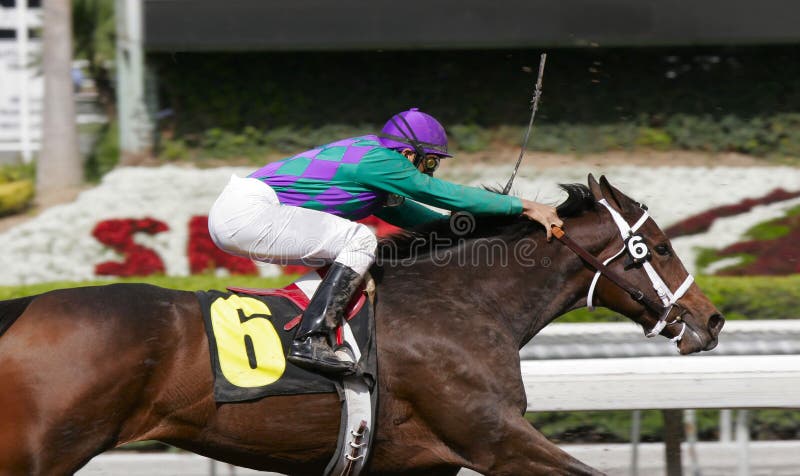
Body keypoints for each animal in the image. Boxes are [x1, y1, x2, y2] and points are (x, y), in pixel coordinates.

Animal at [0, 176, 724, 476]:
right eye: (658, 247)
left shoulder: (418, 464)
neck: (461, 303)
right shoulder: (493, 438)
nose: (711, 319)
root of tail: (26, 307)